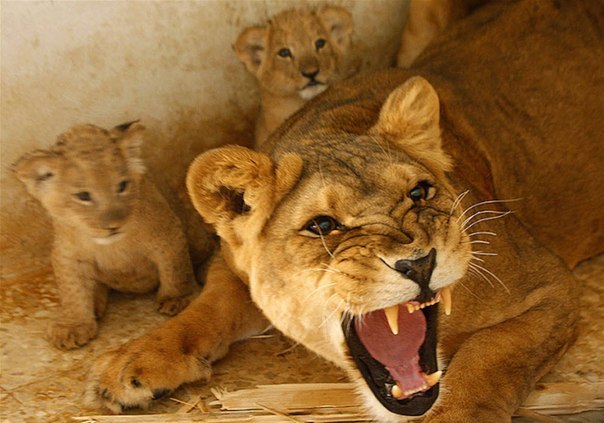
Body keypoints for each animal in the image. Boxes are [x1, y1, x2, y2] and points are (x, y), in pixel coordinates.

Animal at [13, 122, 215, 350]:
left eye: (122, 186)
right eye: (83, 196)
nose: (112, 227)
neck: (109, 244)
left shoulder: (167, 233)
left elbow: (175, 268)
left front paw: (178, 298)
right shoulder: (66, 254)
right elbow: (72, 290)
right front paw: (74, 325)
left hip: (194, 234)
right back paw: (95, 304)